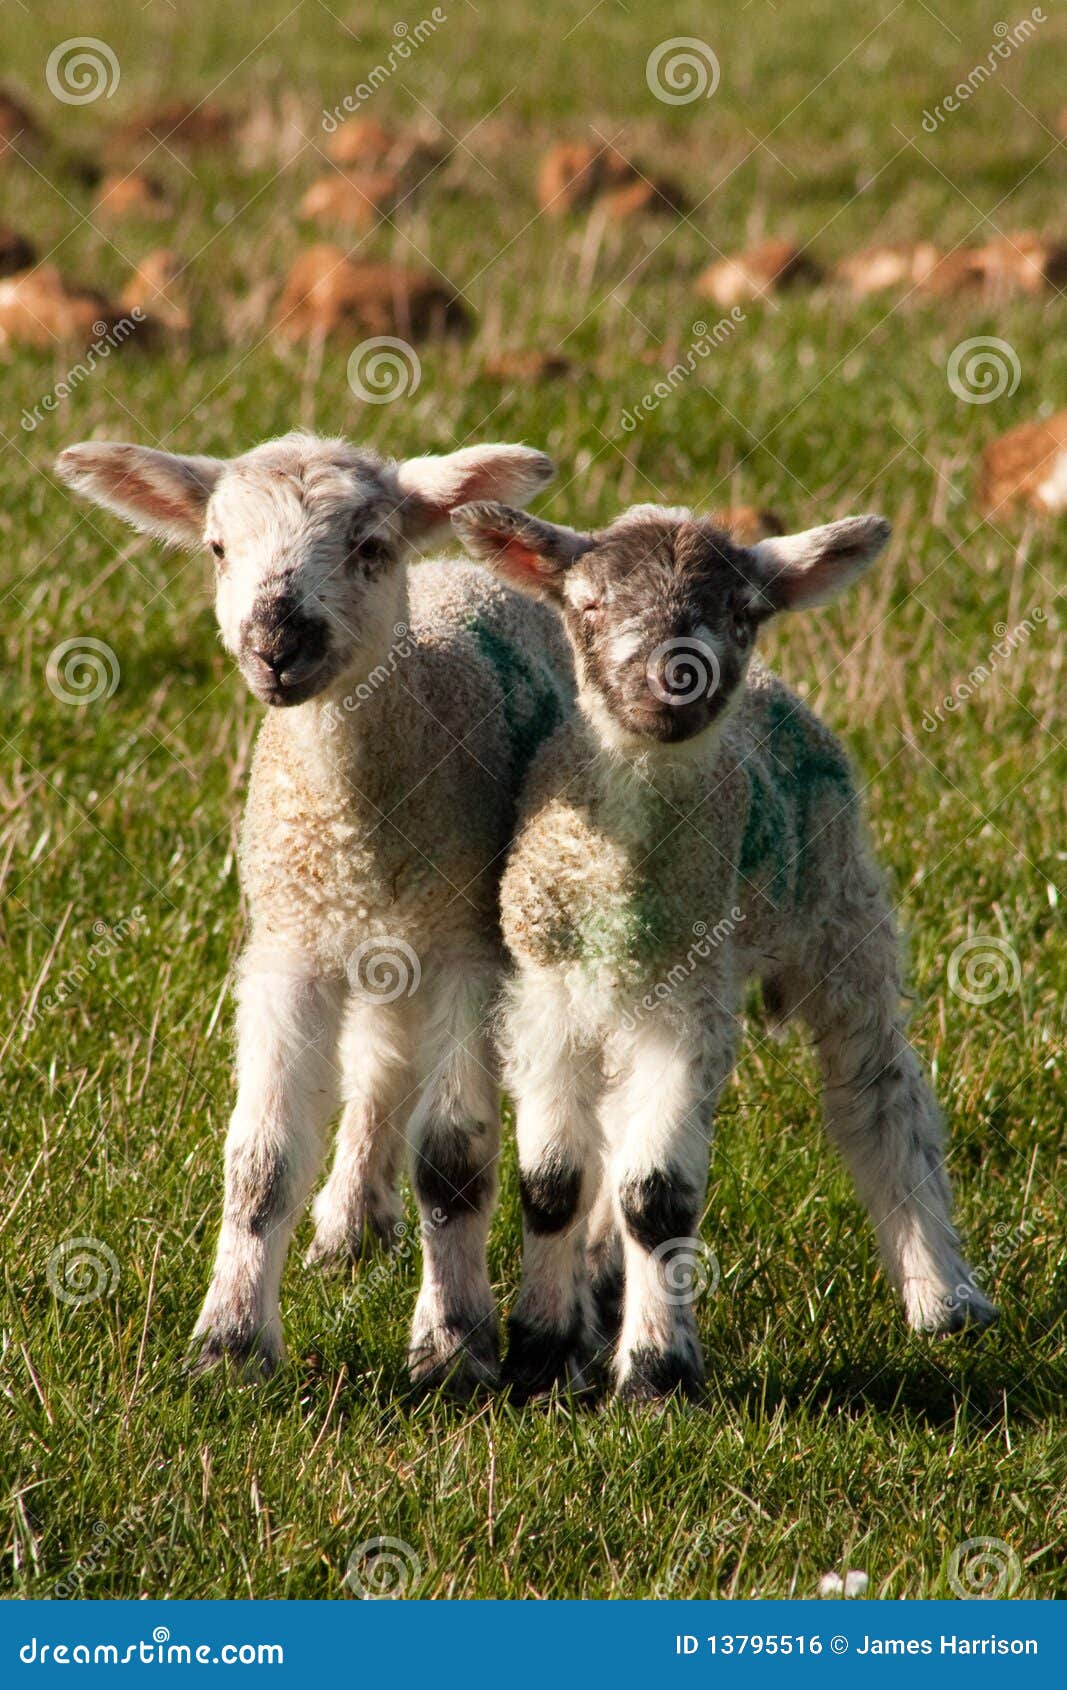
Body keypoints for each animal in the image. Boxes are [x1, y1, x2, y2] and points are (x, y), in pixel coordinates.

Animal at [55, 431, 574, 1396]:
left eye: (369, 547)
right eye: (217, 547)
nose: (274, 647)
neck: (349, 833)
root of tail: (454, 570)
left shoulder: (466, 951)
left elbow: (452, 1162)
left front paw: (453, 1347)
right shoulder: (288, 946)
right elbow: (259, 1163)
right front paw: (228, 1346)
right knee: (378, 1065)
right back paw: (350, 1223)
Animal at [452, 498, 997, 1402]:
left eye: (743, 614)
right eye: (588, 605)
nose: (677, 676)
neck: (625, 906)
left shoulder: (690, 1005)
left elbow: (656, 1198)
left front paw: (655, 1375)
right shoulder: (543, 995)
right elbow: (554, 1185)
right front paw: (541, 1356)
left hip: (840, 908)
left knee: (878, 1090)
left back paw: (942, 1295)